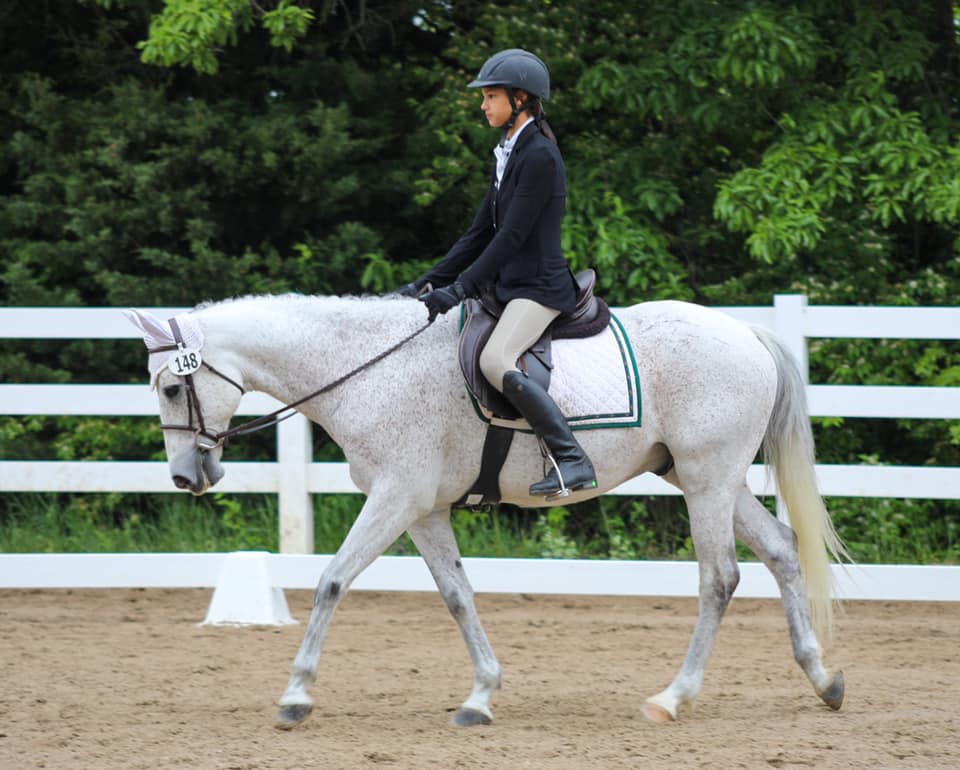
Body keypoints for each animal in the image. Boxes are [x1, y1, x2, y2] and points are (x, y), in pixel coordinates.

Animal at [125, 292, 847, 729]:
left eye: (171, 387)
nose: (187, 476)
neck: (368, 370)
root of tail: (745, 331)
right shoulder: (422, 511)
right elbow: (457, 595)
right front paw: (480, 695)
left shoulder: (395, 496)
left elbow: (332, 579)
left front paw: (296, 694)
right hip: (707, 478)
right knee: (781, 549)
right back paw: (822, 679)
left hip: (706, 478)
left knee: (719, 577)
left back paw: (673, 697)